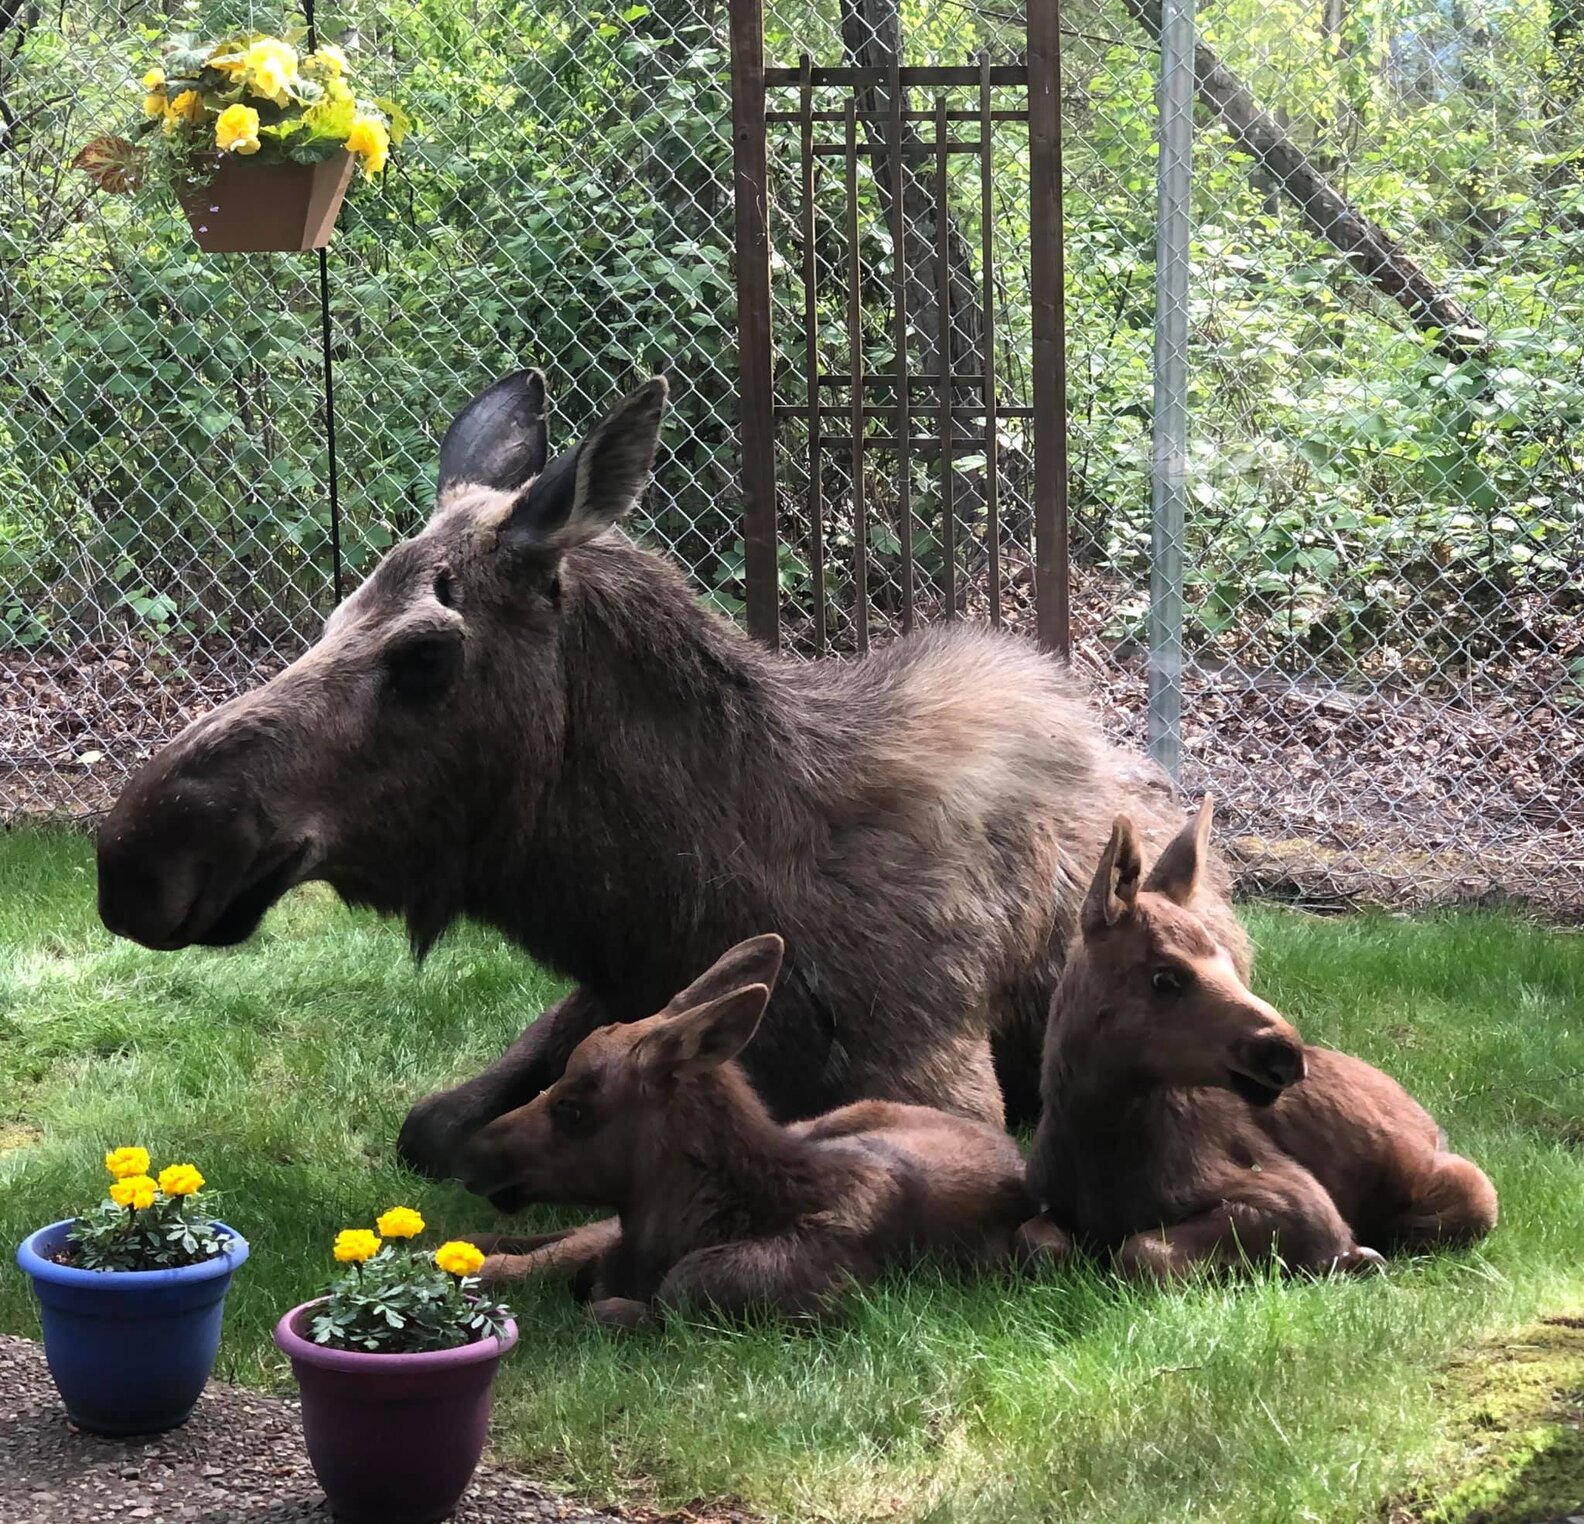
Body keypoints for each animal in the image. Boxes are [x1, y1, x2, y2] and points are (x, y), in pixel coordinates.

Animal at [95, 366, 1250, 1199]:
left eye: (424, 654)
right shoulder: (607, 988)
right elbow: (430, 1126)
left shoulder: (941, 1078)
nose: (138, 856)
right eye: (333, 617)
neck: (685, 894)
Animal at [1023, 797, 1498, 1281]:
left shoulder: (1300, 1201)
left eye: (1230, 963)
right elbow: (1040, 1243)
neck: (1096, 1137)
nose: (1286, 1055)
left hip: (1471, 1189)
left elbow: (1139, 1251)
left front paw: (1355, 1258)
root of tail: (1431, 1125)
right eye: (1164, 977)